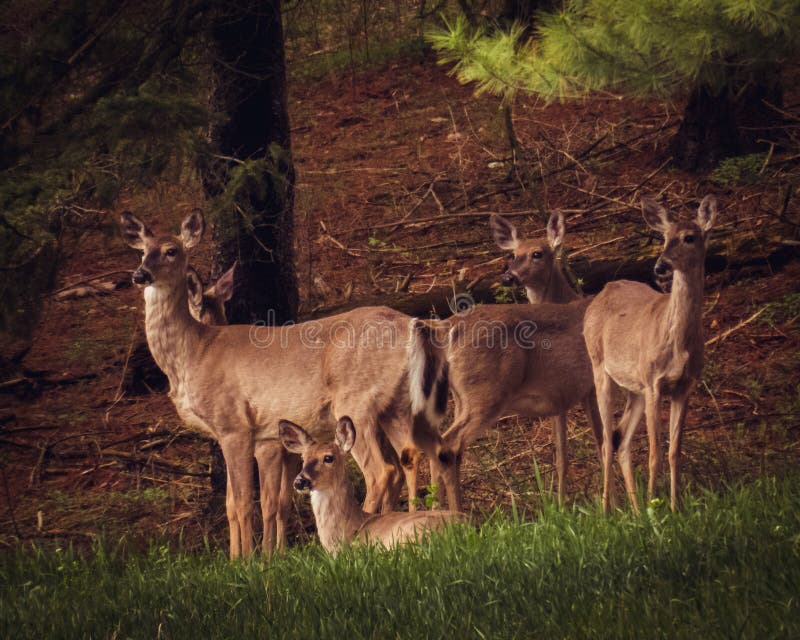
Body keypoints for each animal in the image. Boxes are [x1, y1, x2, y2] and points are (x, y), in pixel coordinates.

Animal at [119, 209, 443, 556]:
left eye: (171, 250)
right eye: (142, 251)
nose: (140, 274)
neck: (194, 352)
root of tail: (412, 323)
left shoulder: (234, 424)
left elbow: (245, 503)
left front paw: (248, 560)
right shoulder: (252, 436)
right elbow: (237, 503)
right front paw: (244, 558)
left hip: (356, 401)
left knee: (382, 471)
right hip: (397, 403)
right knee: (412, 456)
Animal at [488, 211, 605, 501]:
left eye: (538, 254)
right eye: (513, 254)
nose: (508, 277)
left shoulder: (586, 386)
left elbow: (599, 442)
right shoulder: (556, 392)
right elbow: (560, 454)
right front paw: (560, 502)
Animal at [583, 195, 717, 513]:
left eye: (689, 237)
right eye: (664, 237)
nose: (660, 267)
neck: (678, 344)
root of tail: (600, 293)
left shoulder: (684, 386)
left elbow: (674, 452)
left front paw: (673, 507)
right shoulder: (654, 381)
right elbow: (655, 453)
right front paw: (654, 508)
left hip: (636, 388)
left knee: (621, 439)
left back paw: (632, 511)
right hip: (600, 368)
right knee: (606, 440)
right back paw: (607, 510)